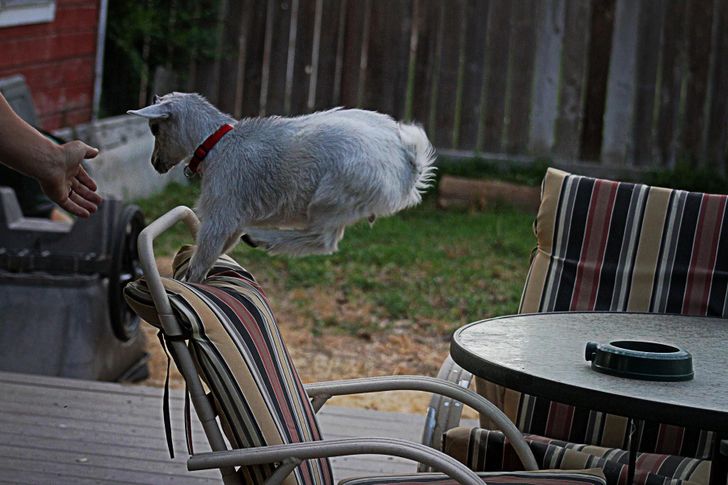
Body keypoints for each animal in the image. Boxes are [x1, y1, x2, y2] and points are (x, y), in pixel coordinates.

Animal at [128, 92, 436, 283]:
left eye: (155, 128)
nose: (155, 163)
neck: (217, 143)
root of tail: (407, 162)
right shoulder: (232, 218)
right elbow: (219, 247)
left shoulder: (222, 210)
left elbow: (205, 255)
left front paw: (191, 279)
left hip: (332, 196)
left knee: (322, 240)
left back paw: (262, 237)